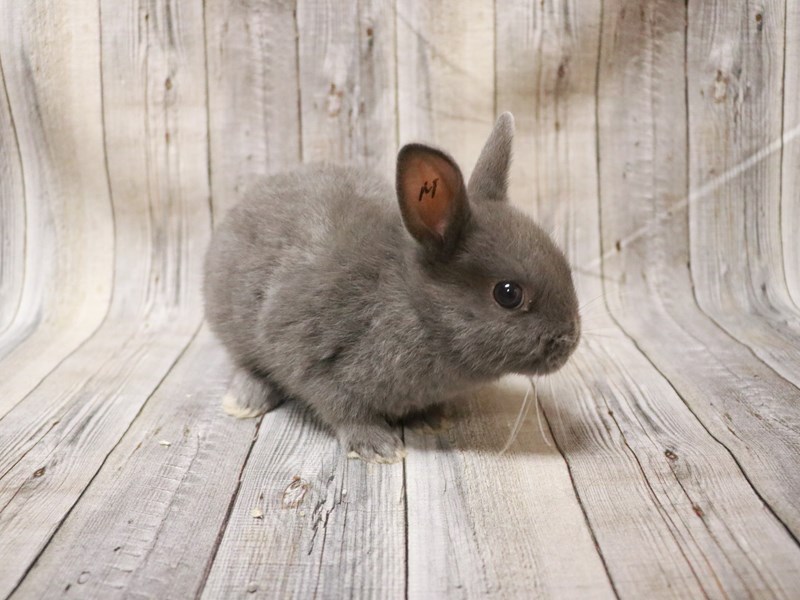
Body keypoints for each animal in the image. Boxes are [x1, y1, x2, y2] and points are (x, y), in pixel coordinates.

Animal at [203, 113, 580, 463]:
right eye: (508, 294)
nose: (570, 341)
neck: (415, 307)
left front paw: (431, 420)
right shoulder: (317, 363)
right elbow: (343, 408)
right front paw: (377, 448)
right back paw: (244, 400)